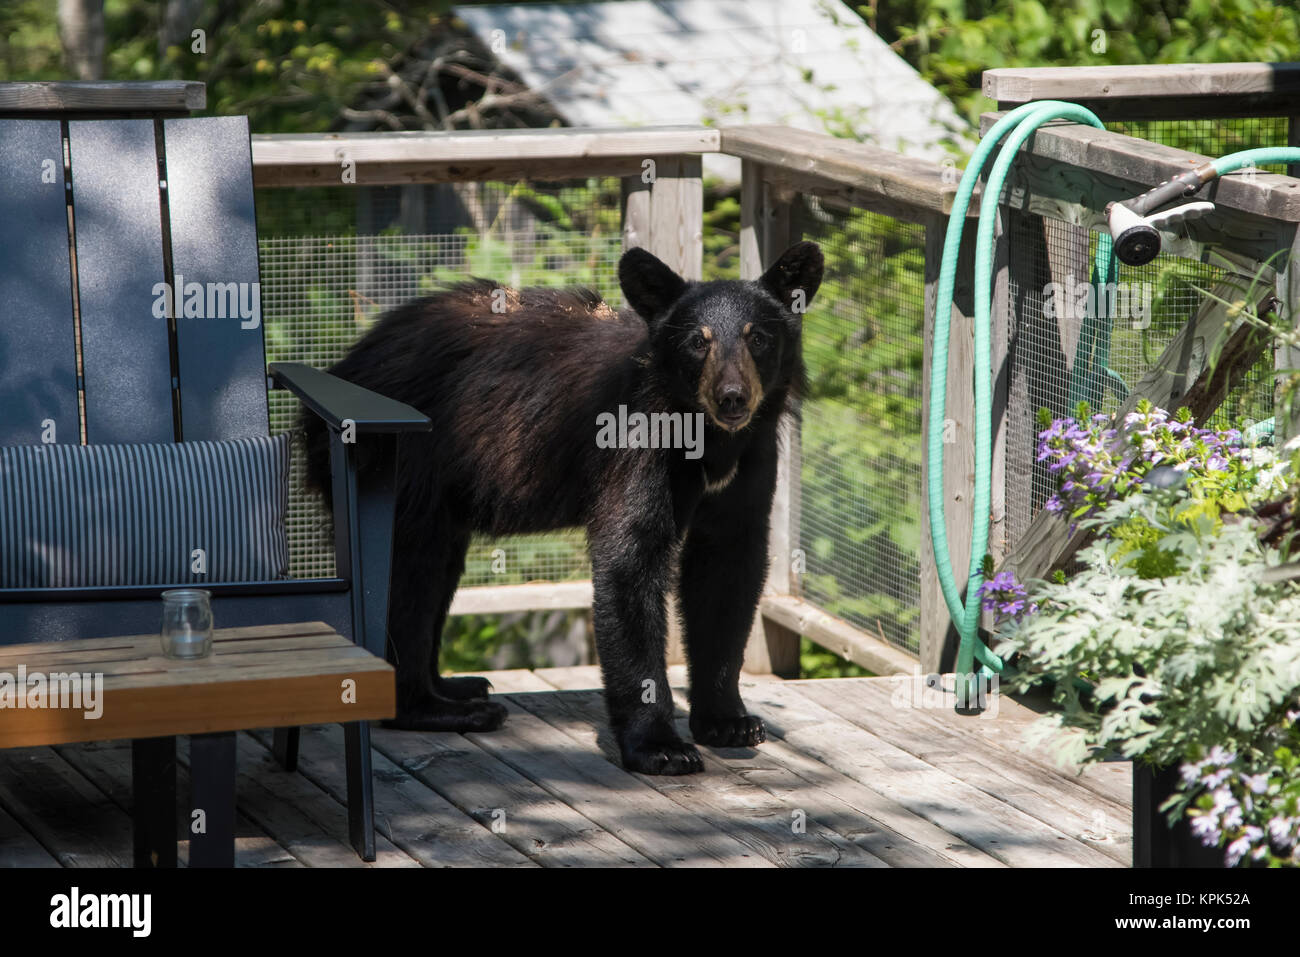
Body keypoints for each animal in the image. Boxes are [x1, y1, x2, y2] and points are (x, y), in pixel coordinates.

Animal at [302, 241, 823, 775]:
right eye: (698, 342)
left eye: (758, 337)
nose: (732, 398)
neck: (709, 438)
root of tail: (346, 365)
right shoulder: (638, 443)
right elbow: (630, 558)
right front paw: (660, 746)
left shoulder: (752, 459)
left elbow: (728, 568)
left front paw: (728, 721)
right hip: (403, 463)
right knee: (410, 576)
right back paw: (438, 708)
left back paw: (456, 686)